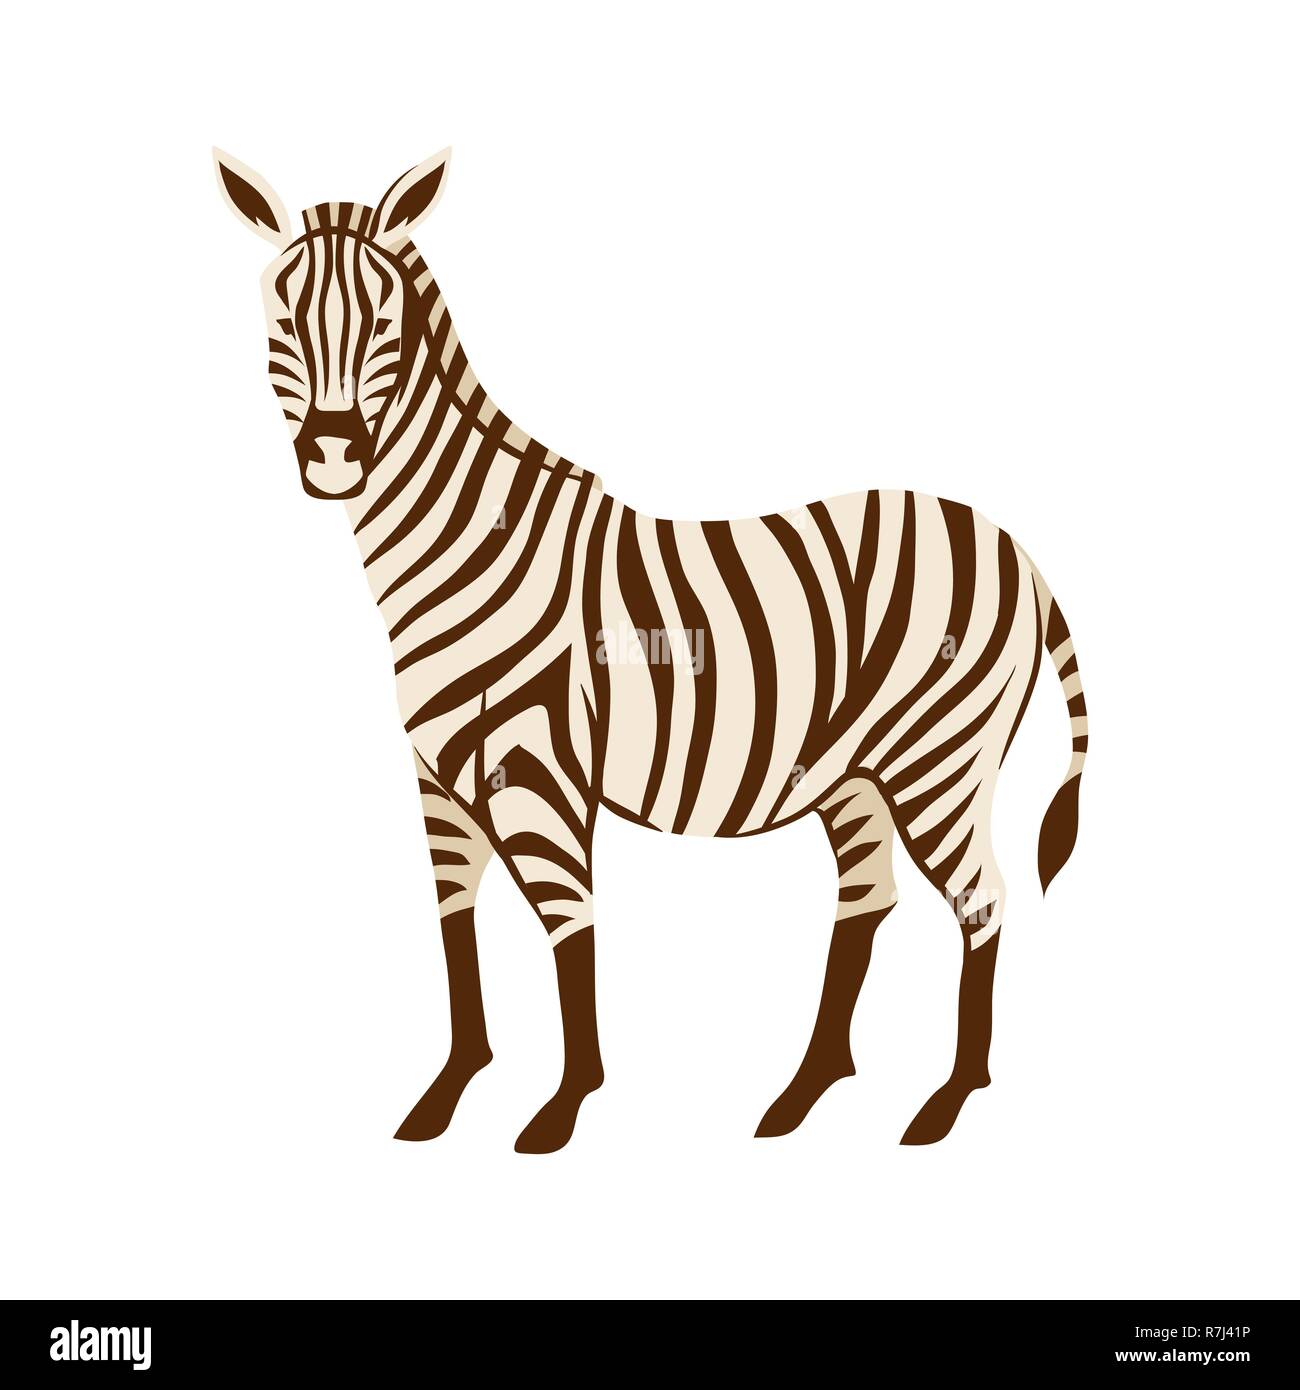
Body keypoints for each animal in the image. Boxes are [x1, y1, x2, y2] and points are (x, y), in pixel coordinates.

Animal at [215, 148, 1088, 1152]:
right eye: (283, 313)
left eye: (385, 318)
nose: (333, 456)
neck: (463, 541)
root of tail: (1020, 551)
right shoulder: (439, 781)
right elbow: (454, 934)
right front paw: (447, 1093)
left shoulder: (538, 768)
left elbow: (570, 929)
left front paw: (564, 1105)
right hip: (855, 771)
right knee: (870, 898)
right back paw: (803, 1093)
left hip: (940, 756)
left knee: (982, 900)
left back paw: (947, 1100)